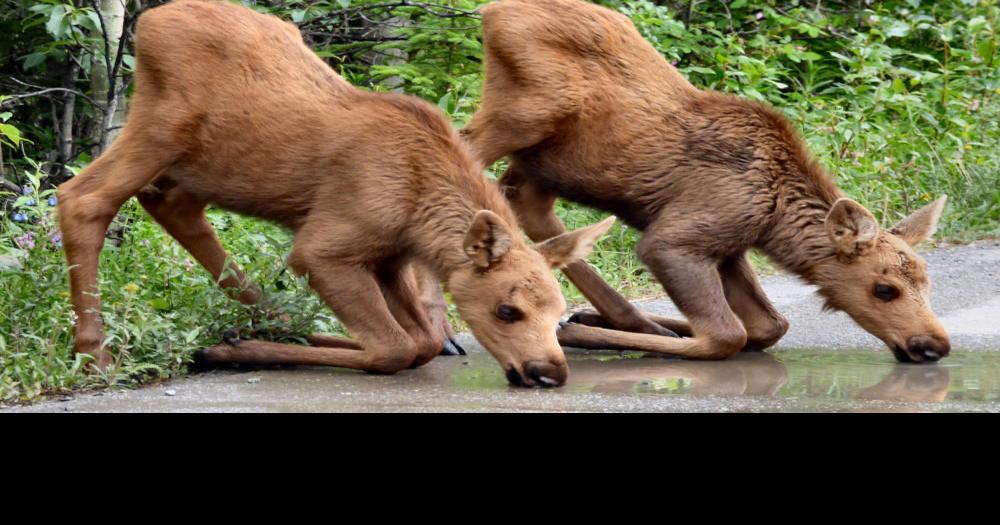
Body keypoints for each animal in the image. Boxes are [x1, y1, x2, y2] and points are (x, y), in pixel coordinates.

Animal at [56, 0, 615, 388]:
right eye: (506, 310)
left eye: (557, 311)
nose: (549, 372)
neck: (419, 210)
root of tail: (148, 23)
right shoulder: (324, 248)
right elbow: (395, 348)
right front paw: (233, 351)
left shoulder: (388, 257)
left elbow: (422, 340)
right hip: (159, 128)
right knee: (83, 196)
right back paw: (96, 355)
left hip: (200, 166)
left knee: (168, 203)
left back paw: (261, 329)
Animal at [457, 0, 951, 364]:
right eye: (884, 289)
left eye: (928, 282)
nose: (934, 344)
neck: (774, 220)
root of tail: (492, 11)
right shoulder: (676, 240)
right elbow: (728, 335)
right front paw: (575, 333)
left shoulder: (729, 247)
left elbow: (769, 325)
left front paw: (586, 321)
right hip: (525, 115)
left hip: (549, 161)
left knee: (524, 200)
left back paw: (623, 317)